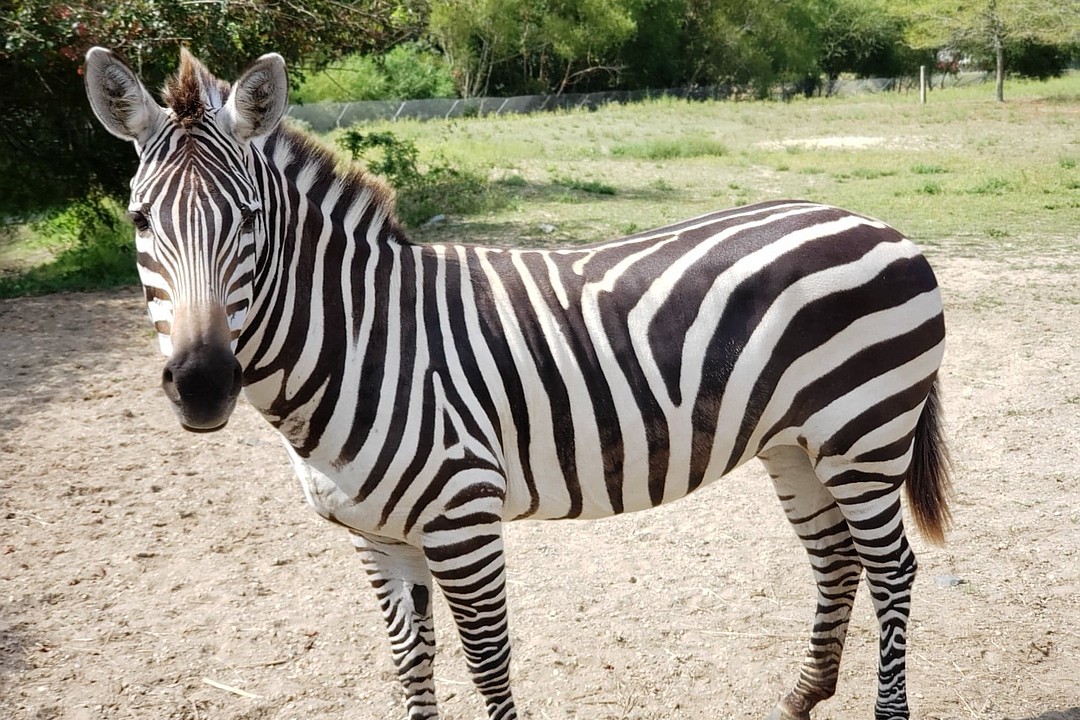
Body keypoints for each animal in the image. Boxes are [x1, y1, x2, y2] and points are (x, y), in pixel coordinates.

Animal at [84, 46, 951, 720]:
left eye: (252, 220)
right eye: (138, 221)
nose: (202, 384)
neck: (361, 339)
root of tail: (877, 225)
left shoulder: (462, 519)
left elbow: (487, 660)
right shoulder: (376, 537)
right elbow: (411, 659)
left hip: (864, 437)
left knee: (893, 570)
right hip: (794, 443)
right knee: (836, 560)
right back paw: (800, 697)